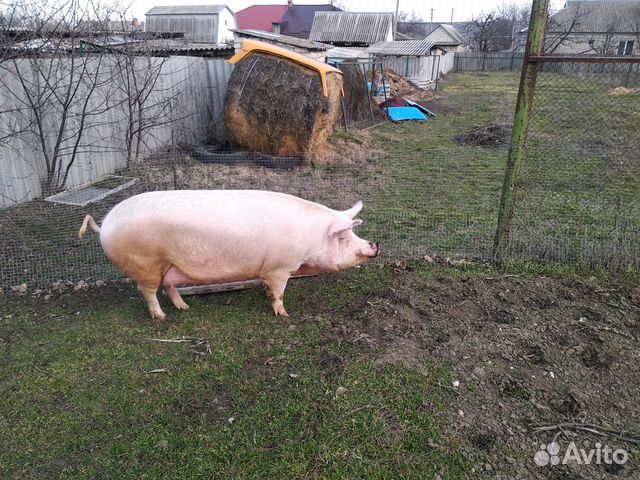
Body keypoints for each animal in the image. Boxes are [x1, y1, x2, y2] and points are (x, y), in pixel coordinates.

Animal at [78, 190, 380, 320]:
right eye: (344, 237)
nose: (375, 245)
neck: (309, 238)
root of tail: (104, 225)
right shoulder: (280, 267)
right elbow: (280, 292)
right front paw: (283, 314)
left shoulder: (268, 270)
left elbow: (268, 288)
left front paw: (268, 298)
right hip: (147, 264)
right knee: (148, 291)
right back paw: (161, 317)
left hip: (169, 266)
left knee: (168, 286)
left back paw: (184, 308)